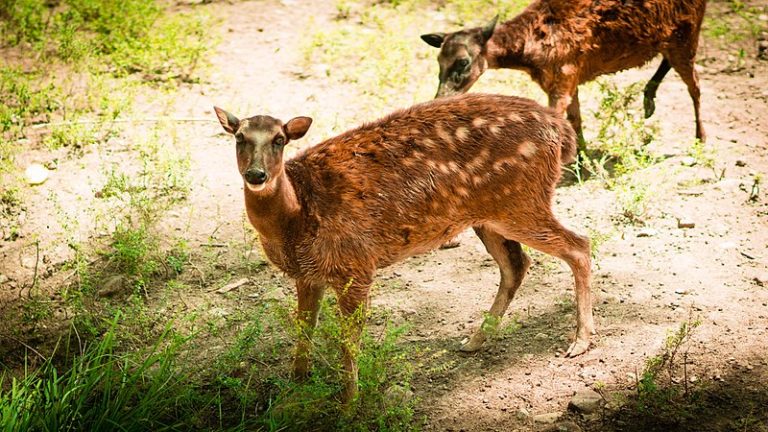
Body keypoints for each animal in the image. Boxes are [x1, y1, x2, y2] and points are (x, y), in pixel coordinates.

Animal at [213, 93, 594, 402]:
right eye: (239, 137)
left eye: (279, 139)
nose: (256, 175)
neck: (296, 217)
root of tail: (560, 131)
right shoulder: (307, 275)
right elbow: (304, 329)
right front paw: (296, 385)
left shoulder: (356, 265)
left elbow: (348, 340)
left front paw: (349, 403)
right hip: (489, 216)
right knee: (517, 264)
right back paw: (473, 341)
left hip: (522, 202)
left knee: (580, 246)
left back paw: (580, 343)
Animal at [421, 0, 707, 148]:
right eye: (438, 61)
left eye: (463, 62)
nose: (440, 98)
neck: (530, 52)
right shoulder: (568, 78)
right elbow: (575, 119)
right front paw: (580, 158)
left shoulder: (563, 75)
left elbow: (557, 120)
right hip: (675, 38)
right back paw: (648, 100)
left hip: (686, 34)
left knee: (695, 85)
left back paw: (700, 137)